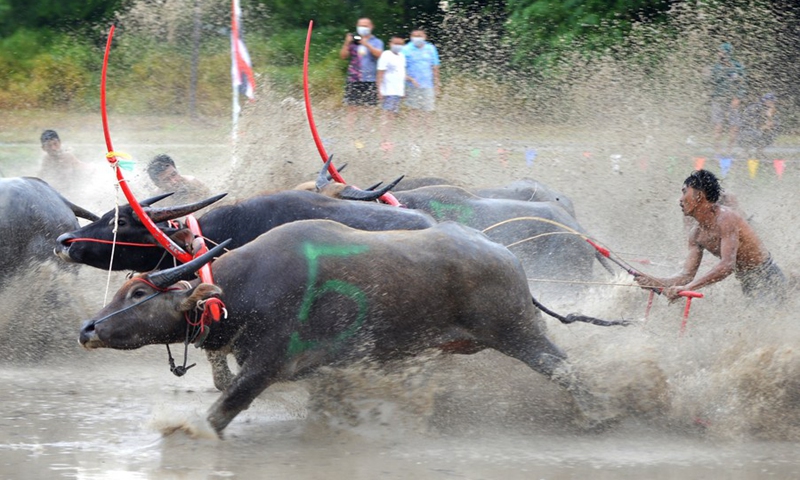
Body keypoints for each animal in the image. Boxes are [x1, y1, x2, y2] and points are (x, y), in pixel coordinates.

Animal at [79, 219, 622, 437]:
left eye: (139, 295)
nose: (88, 328)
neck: (244, 292)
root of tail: (506, 256)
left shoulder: (267, 367)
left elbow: (222, 410)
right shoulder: (325, 371)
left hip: (519, 334)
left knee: (564, 369)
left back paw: (599, 415)